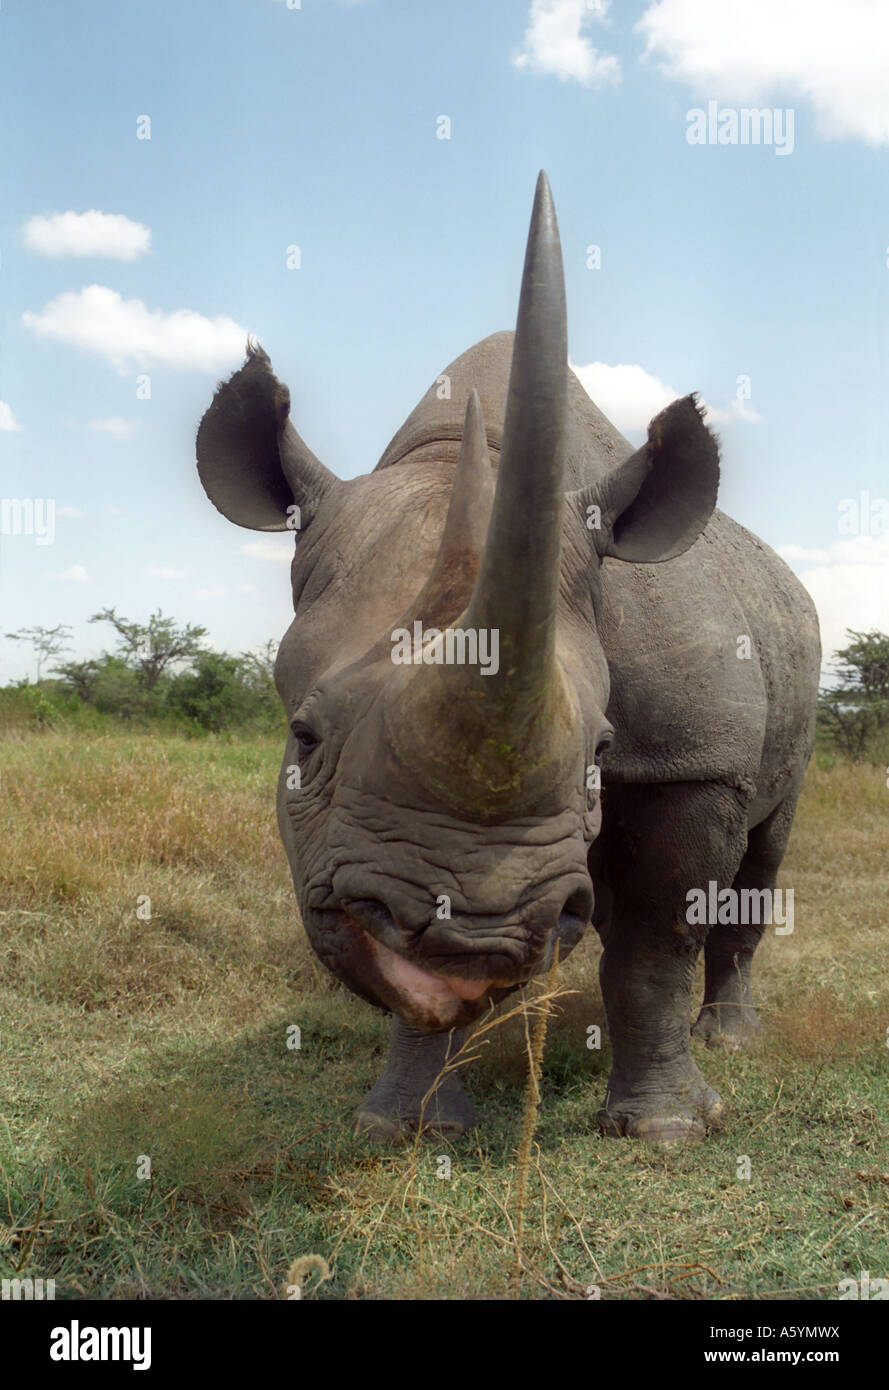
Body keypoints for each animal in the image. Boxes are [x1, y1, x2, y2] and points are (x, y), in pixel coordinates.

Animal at [196, 173, 820, 1145]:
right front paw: (406, 1130)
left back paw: (729, 1040)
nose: (475, 934)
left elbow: (657, 939)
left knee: (762, 857)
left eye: (601, 750)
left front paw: (666, 1132)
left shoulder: (696, 758)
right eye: (303, 738)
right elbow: (417, 996)